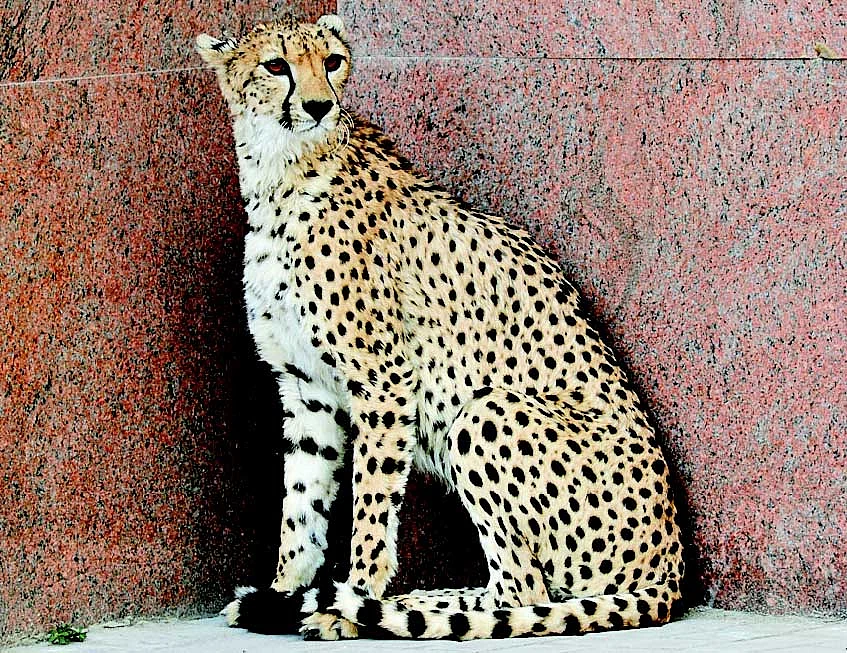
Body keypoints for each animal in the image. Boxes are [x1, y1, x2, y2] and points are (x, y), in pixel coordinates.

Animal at [196, 13, 685, 640]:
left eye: (332, 61)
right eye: (276, 65)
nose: (319, 106)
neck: (282, 170)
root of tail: (672, 568)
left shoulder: (384, 380)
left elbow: (371, 506)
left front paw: (350, 600)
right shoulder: (308, 391)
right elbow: (301, 506)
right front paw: (285, 591)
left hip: (484, 411)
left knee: (523, 591)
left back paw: (396, 610)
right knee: (513, 594)